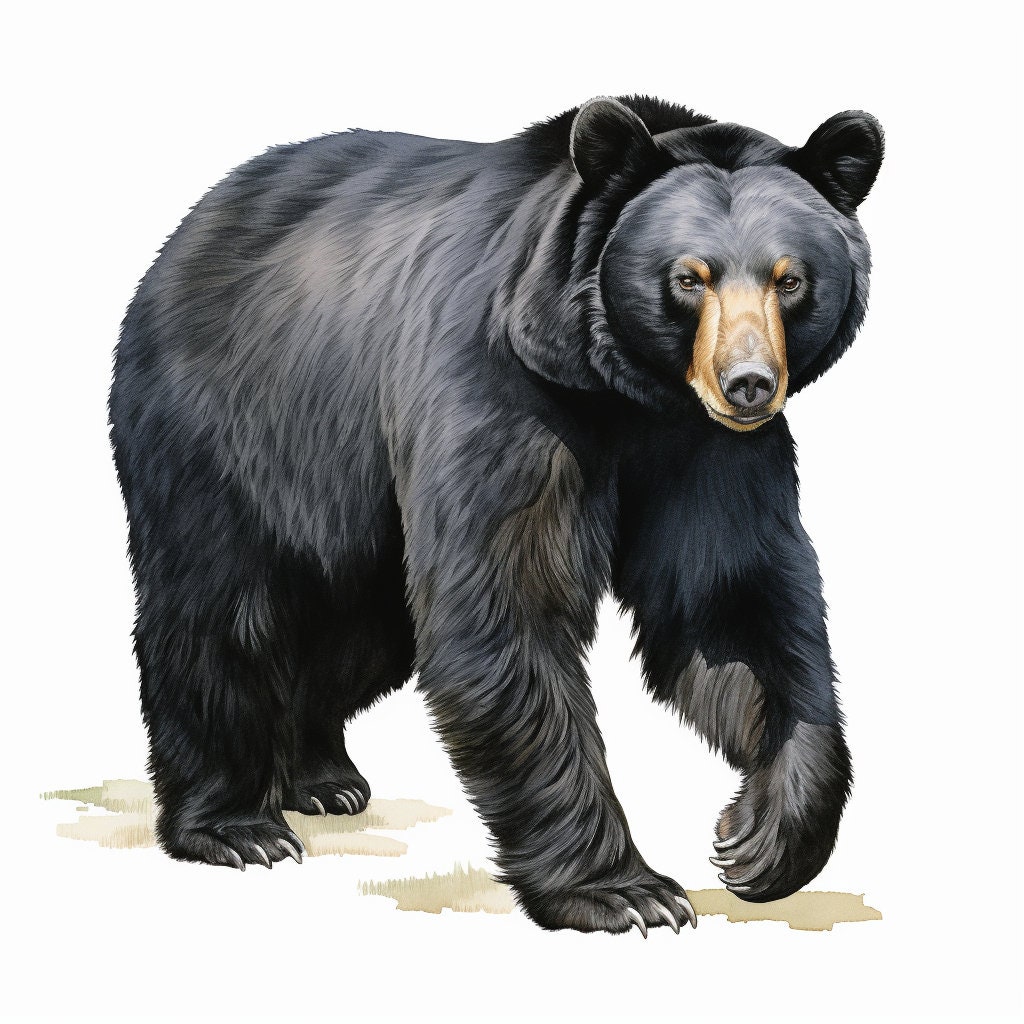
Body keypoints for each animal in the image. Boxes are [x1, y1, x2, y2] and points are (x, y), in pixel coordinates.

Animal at [109, 95, 883, 935]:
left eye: (790, 278)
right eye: (688, 276)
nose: (748, 382)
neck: (620, 388)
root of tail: (191, 226)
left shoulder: (703, 446)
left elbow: (730, 602)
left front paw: (764, 837)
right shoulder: (498, 385)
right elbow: (507, 606)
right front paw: (623, 890)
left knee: (359, 628)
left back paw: (319, 775)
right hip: (231, 423)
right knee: (220, 607)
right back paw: (235, 823)